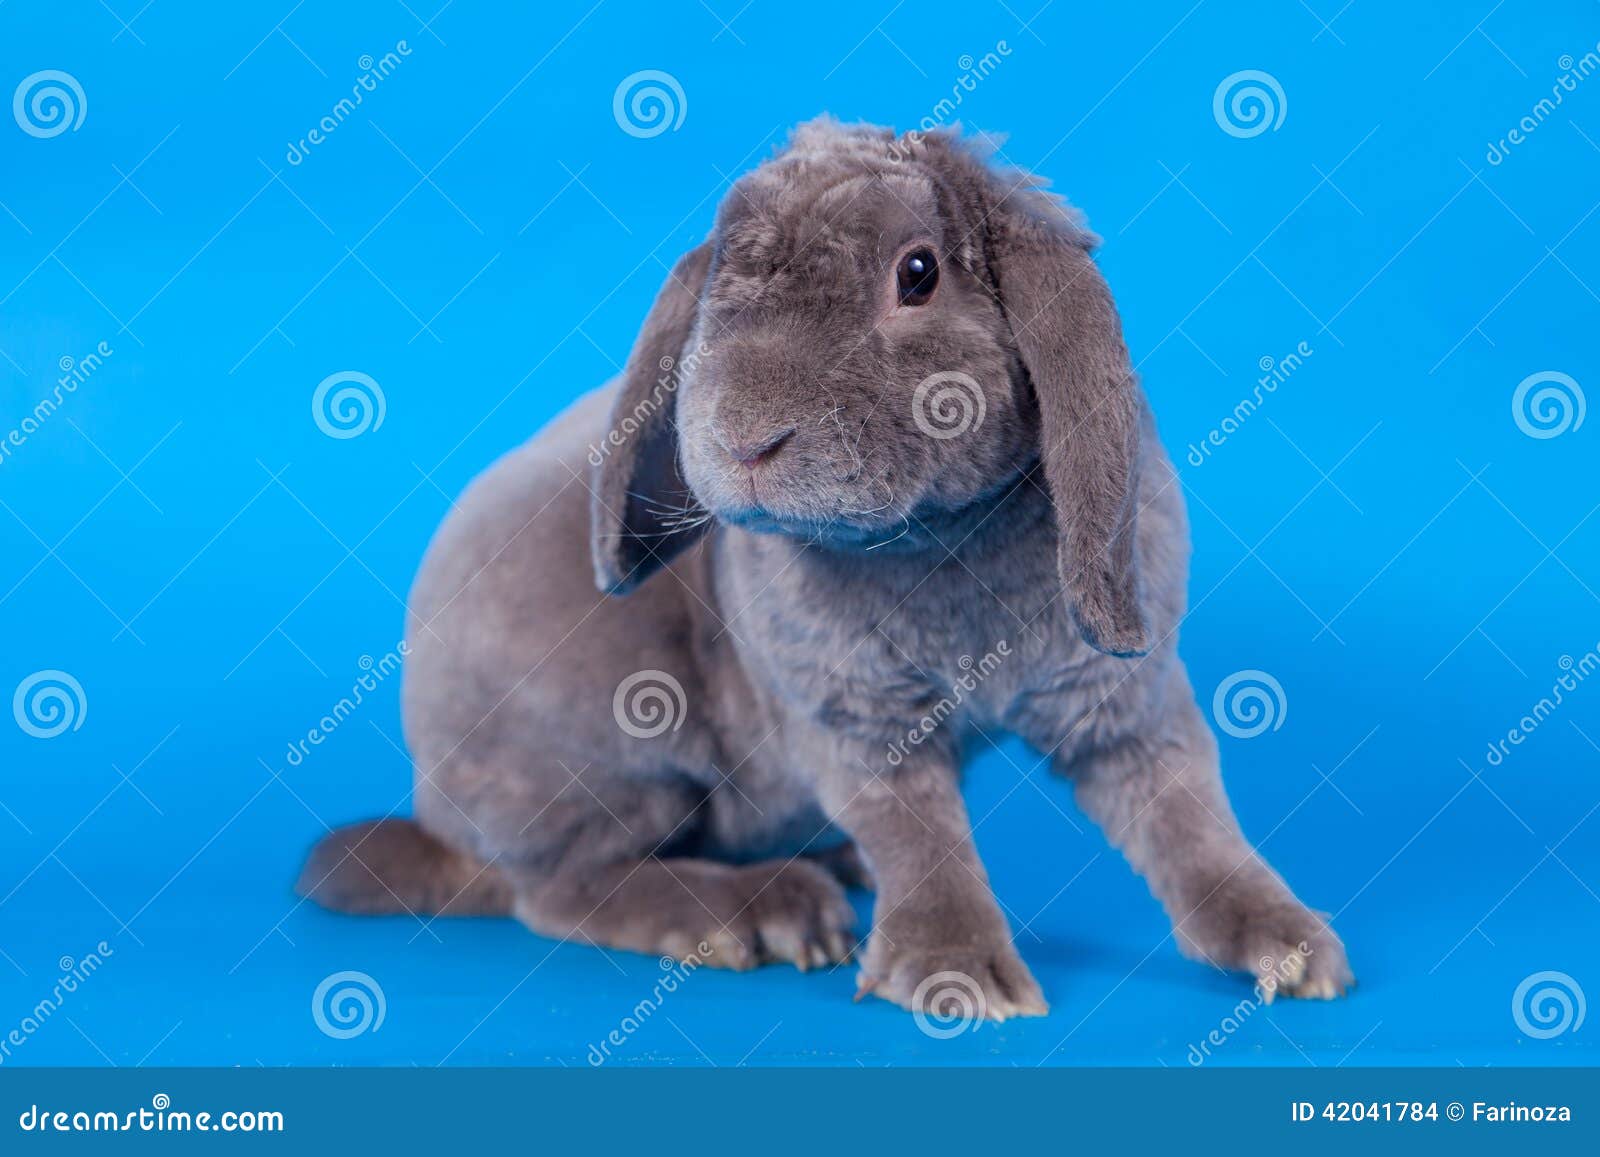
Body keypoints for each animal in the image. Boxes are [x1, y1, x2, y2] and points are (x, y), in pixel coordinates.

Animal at [297, 118, 1353, 1018]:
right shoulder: (856, 722)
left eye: (919, 272)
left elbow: (1191, 822)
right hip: (611, 747)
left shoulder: (1124, 705)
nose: (744, 438)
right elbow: (921, 841)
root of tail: (439, 823)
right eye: (717, 282)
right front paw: (959, 973)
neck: (939, 540)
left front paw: (1289, 945)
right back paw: (756, 913)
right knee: (558, 891)